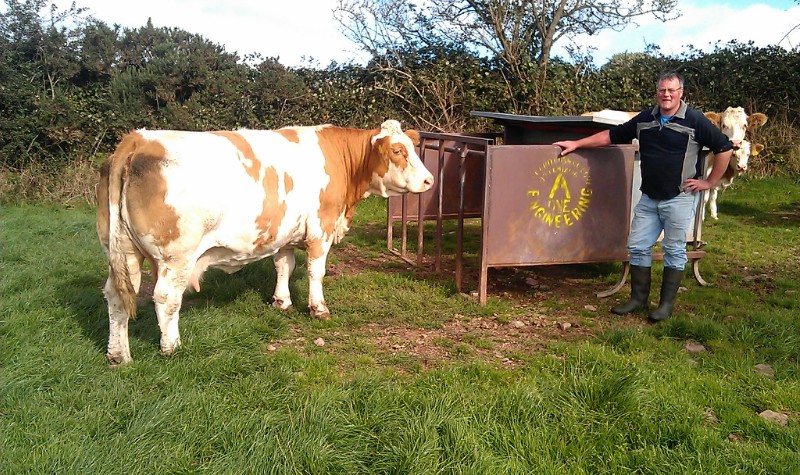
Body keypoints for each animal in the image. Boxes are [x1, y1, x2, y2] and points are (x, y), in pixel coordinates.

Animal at [96, 120, 434, 364]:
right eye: (398, 151)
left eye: (413, 148)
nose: (429, 180)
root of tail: (138, 139)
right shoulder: (321, 228)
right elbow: (315, 271)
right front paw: (318, 308)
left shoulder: (284, 233)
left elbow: (284, 265)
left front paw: (282, 301)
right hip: (175, 256)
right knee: (166, 298)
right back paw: (172, 346)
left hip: (124, 252)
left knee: (116, 295)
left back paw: (118, 355)